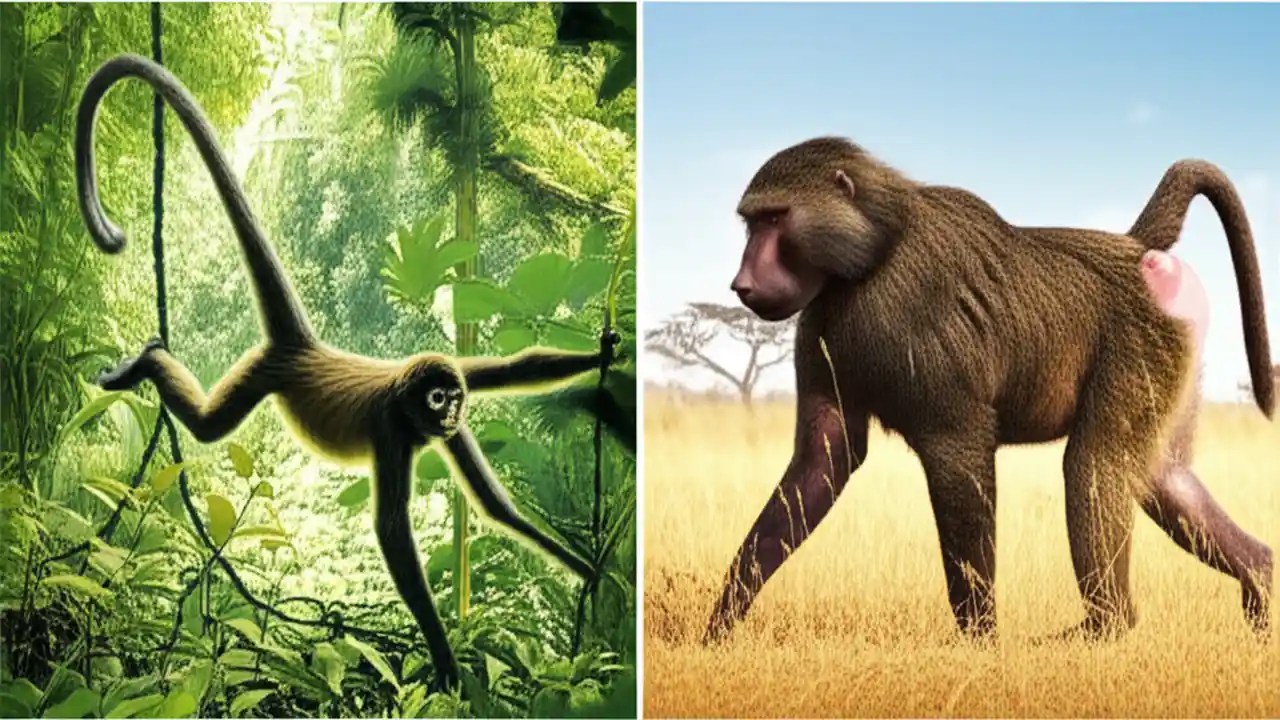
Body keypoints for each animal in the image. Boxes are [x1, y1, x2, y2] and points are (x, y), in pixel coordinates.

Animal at [76, 55, 624, 690]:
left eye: (453, 397)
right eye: (436, 399)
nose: (452, 411)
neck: (410, 406)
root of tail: (305, 347)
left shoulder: (461, 374)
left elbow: (500, 473)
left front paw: (586, 565)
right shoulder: (391, 425)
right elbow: (391, 530)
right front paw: (445, 659)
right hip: (260, 370)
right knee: (210, 427)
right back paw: (145, 362)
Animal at [706, 136, 1274, 644]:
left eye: (774, 220)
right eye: (753, 223)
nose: (741, 284)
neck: (875, 252)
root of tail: (1133, 248)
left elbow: (957, 457)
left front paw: (979, 643)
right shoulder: (820, 325)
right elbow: (824, 457)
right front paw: (720, 624)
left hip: (1143, 342)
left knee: (1095, 466)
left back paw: (1104, 628)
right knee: (1164, 476)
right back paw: (1262, 579)